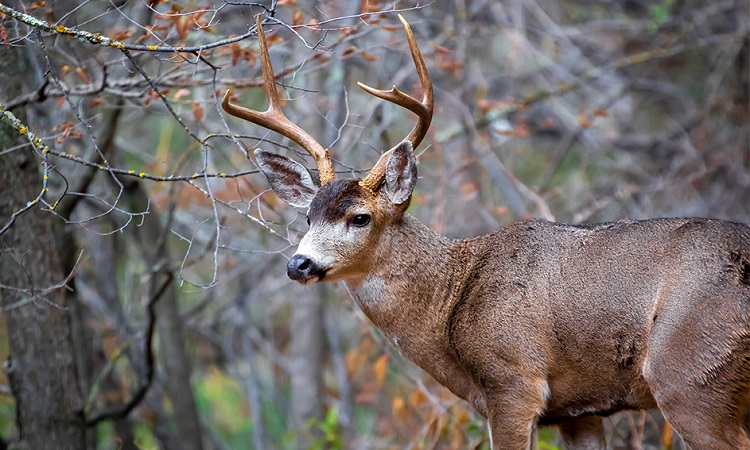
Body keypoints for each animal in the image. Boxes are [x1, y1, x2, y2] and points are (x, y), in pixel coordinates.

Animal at [221, 14, 750, 450]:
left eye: (360, 217)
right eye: (307, 217)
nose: (298, 264)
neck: (451, 302)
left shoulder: (513, 381)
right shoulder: (580, 410)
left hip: (690, 375)